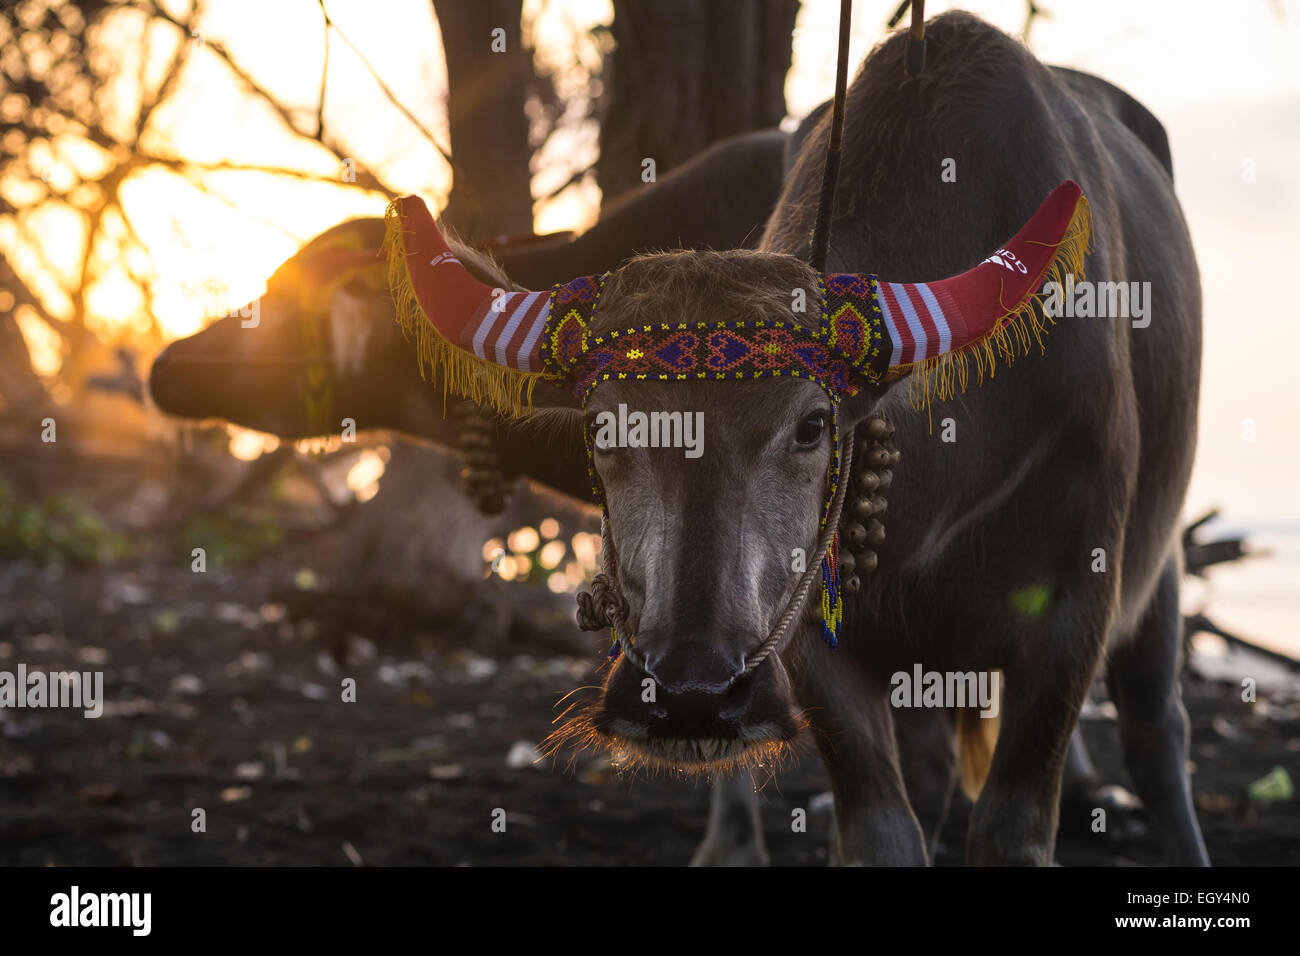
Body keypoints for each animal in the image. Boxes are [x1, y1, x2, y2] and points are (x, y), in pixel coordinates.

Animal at [380, 11, 1207, 866]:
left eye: (813, 426)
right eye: (603, 425)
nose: (693, 694)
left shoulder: (1074, 612)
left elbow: (1014, 826)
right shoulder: (817, 642)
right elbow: (882, 831)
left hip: (1158, 567)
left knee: (1157, 733)